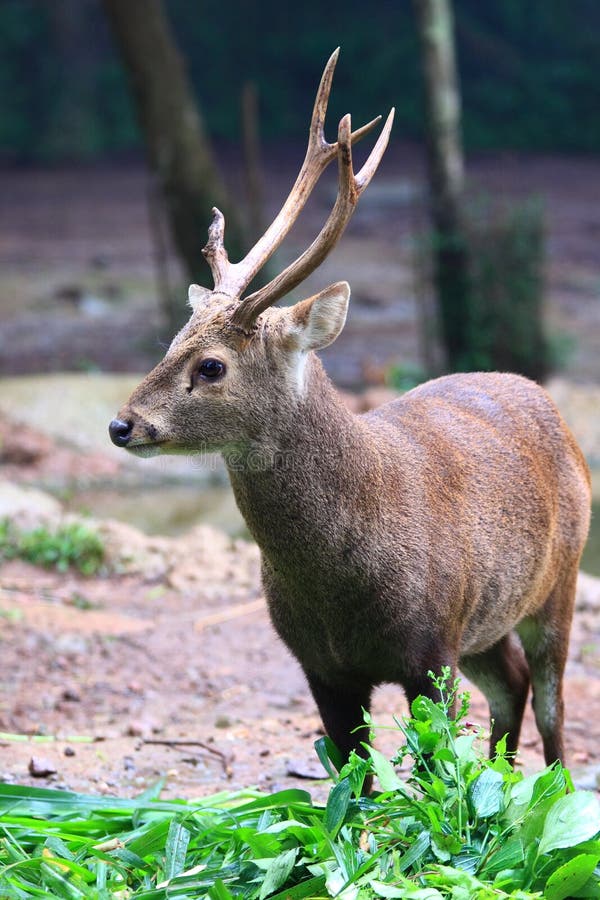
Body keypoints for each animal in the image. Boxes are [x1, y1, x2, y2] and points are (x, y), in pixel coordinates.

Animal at [109, 50, 591, 788]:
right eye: (170, 342)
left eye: (212, 366)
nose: (122, 424)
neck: (337, 590)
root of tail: (552, 409)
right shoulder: (320, 666)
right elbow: (352, 783)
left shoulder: (432, 645)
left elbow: (431, 772)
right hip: (486, 623)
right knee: (510, 683)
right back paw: (502, 788)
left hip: (558, 579)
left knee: (551, 704)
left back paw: (546, 796)